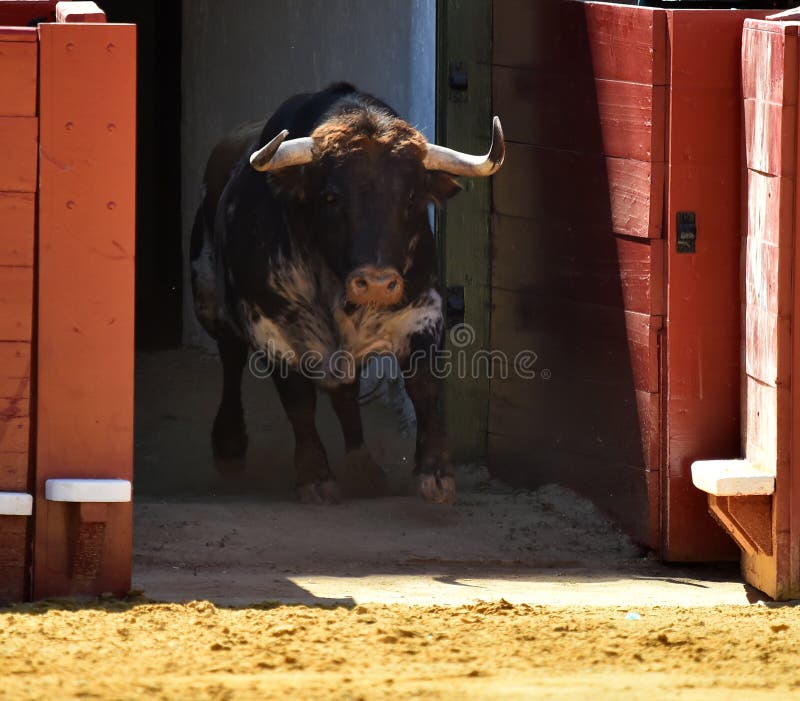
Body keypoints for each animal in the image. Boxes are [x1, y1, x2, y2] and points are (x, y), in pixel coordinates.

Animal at [190, 82, 504, 505]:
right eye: (330, 197)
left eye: (411, 199)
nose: (376, 282)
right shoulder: (272, 327)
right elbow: (298, 401)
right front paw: (314, 475)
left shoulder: (423, 311)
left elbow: (423, 386)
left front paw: (435, 473)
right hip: (208, 297)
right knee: (231, 356)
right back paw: (229, 447)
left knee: (345, 392)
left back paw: (362, 467)